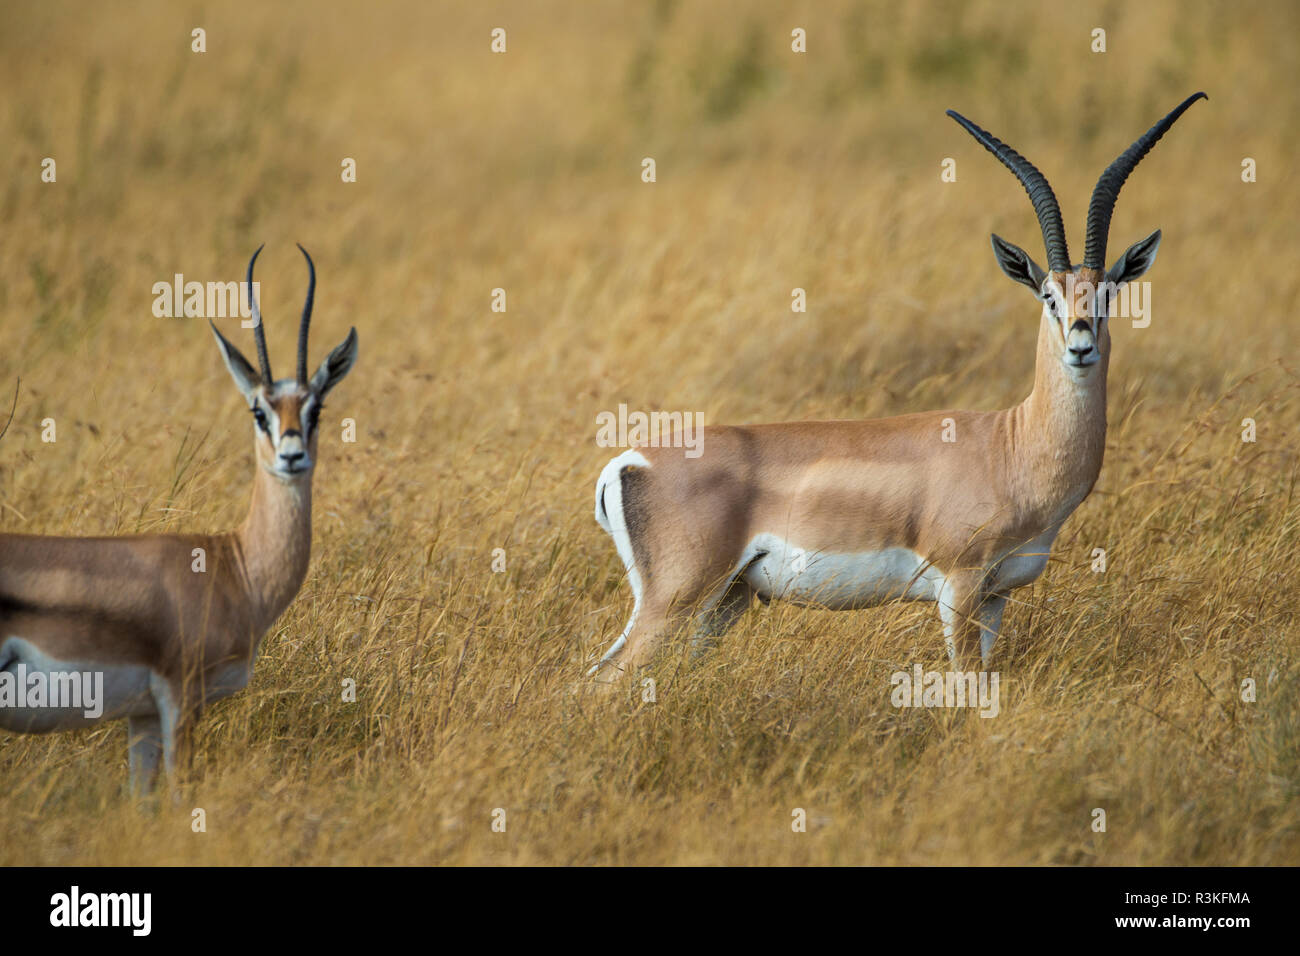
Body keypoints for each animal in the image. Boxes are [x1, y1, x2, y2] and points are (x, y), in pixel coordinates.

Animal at [0, 245, 358, 794]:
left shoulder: (143, 715)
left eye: (315, 409)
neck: (233, 567)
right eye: (259, 411)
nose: (292, 456)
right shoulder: (180, 698)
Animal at [591, 93, 1206, 682]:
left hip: (722, 602)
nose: (1080, 346)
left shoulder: (997, 597)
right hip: (676, 599)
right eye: (1049, 296)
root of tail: (628, 462)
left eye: (1108, 294)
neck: (1011, 445)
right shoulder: (960, 586)